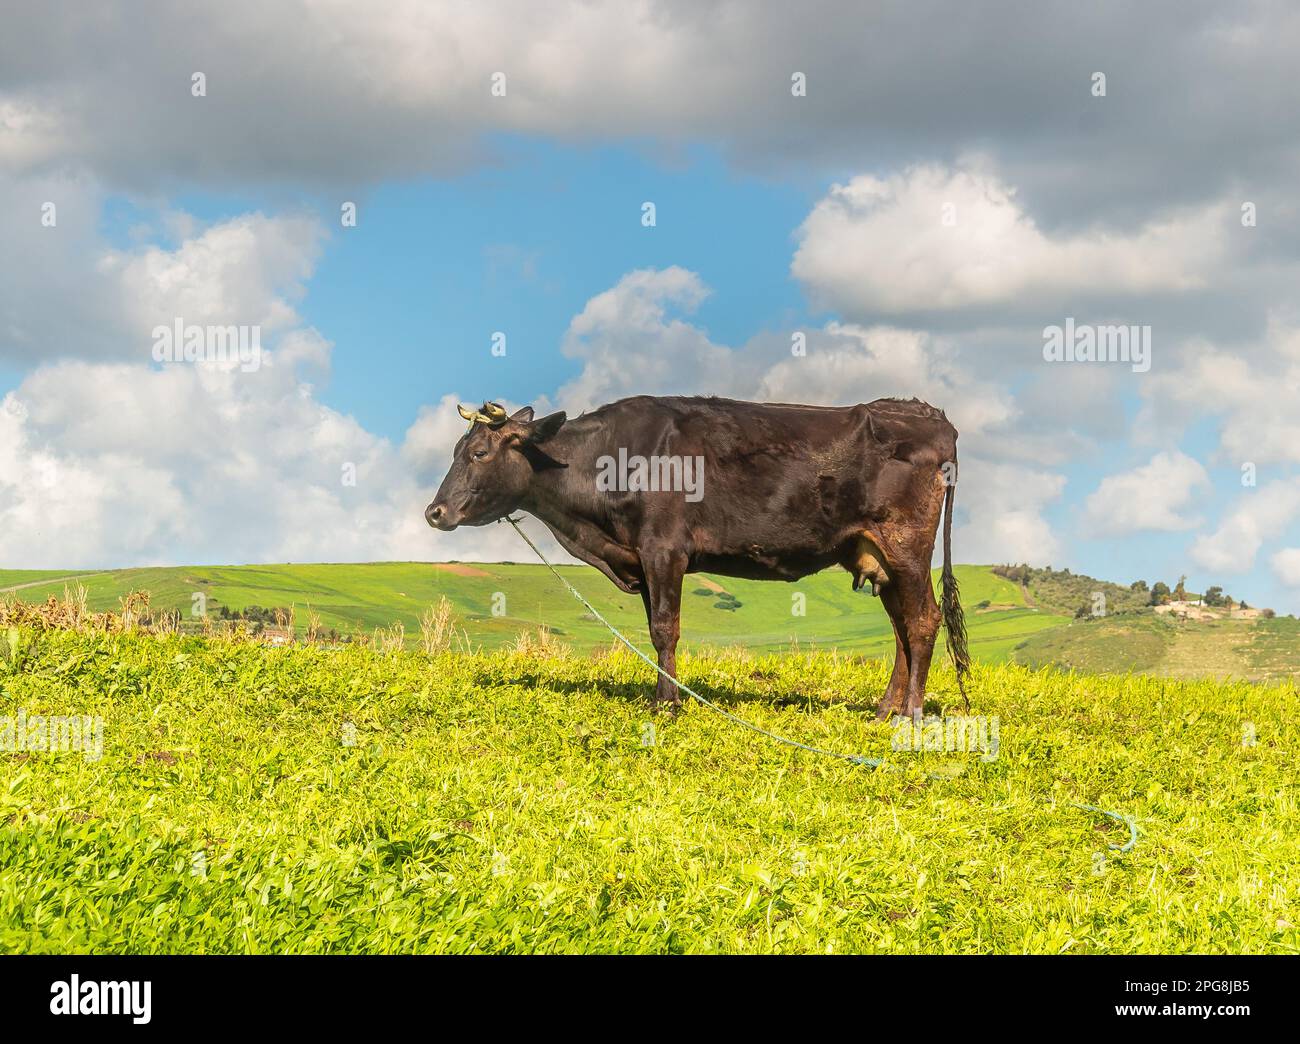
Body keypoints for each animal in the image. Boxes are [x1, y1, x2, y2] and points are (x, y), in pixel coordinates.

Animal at [425, 395, 969, 719]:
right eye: (455, 450)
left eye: (479, 453)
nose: (435, 511)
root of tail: (928, 414)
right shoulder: (642, 560)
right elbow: (654, 629)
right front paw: (662, 696)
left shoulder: (664, 549)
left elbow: (665, 628)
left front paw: (666, 706)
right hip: (877, 556)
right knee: (902, 627)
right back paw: (885, 709)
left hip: (907, 547)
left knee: (923, 620)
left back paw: (911, 713)